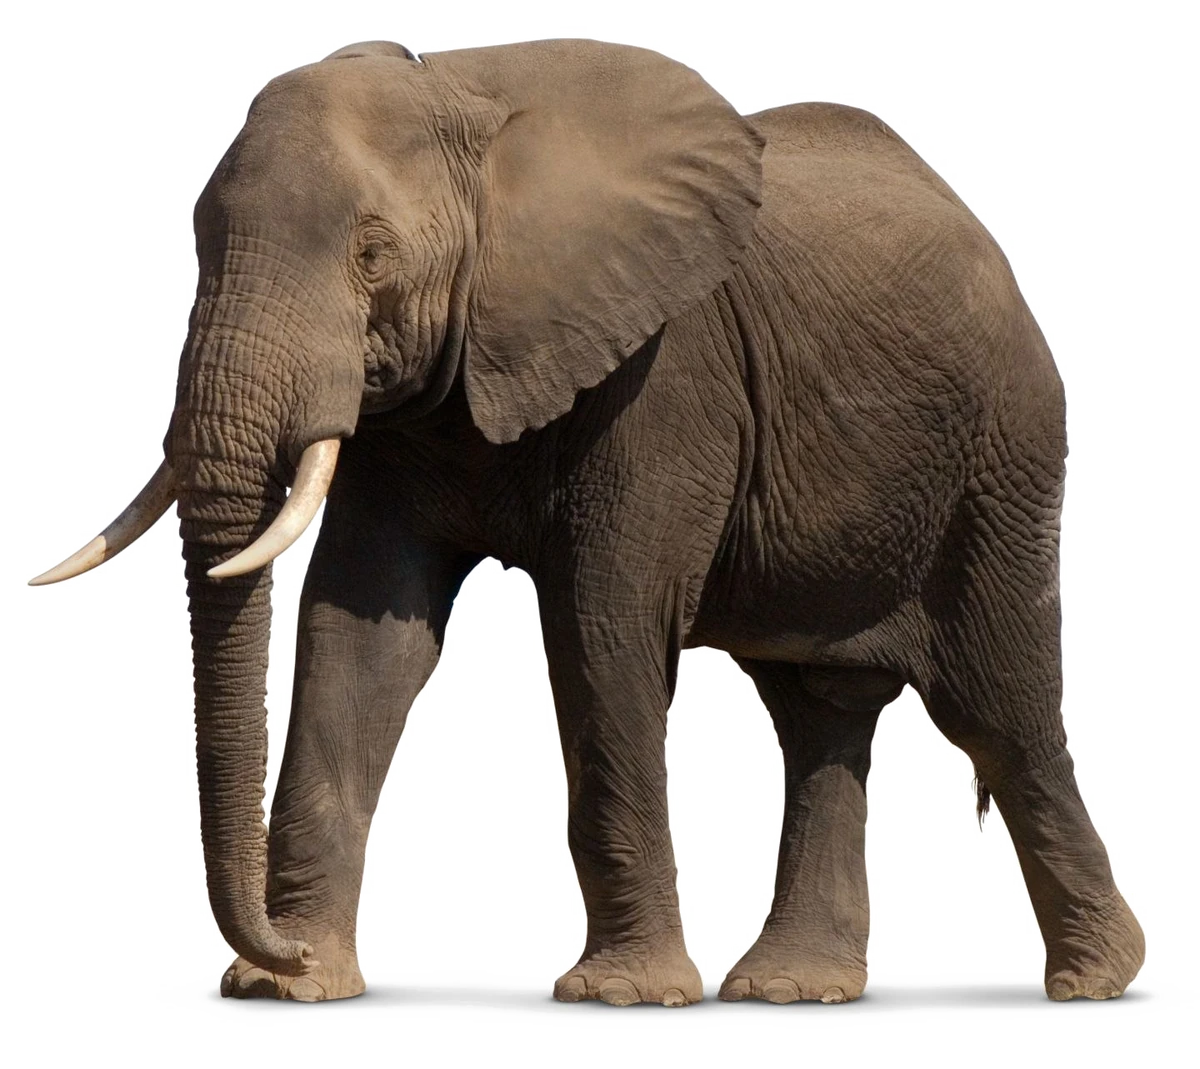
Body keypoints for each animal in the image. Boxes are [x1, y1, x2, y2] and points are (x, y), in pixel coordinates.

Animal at [31, 38, 1143, 1007]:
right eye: (200, 243)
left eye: (372, 254)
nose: (274, 948)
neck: (461, 98)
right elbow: (361, 632)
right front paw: (293, 988)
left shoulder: (666, 371)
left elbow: (602, 623)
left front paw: (623, 997)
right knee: (817, 709)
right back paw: (791, 989)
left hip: (999, 461)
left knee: (998, 704)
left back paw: (1093, 981)